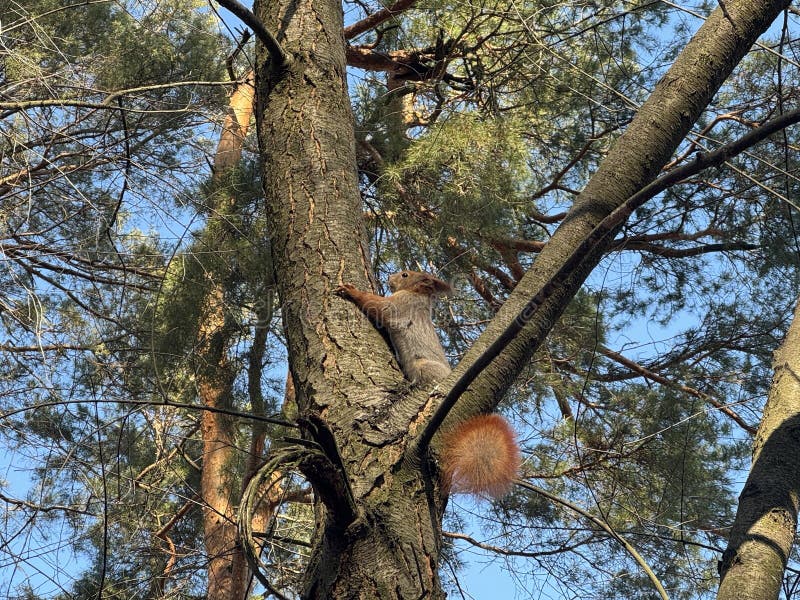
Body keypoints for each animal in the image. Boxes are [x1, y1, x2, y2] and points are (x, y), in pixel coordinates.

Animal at [336, 270, 520, 497]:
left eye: (405, 274)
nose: (390, 277)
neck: (417, 294)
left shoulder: (401, 304)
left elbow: (378, 306)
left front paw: (350, 290)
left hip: (423, 366)